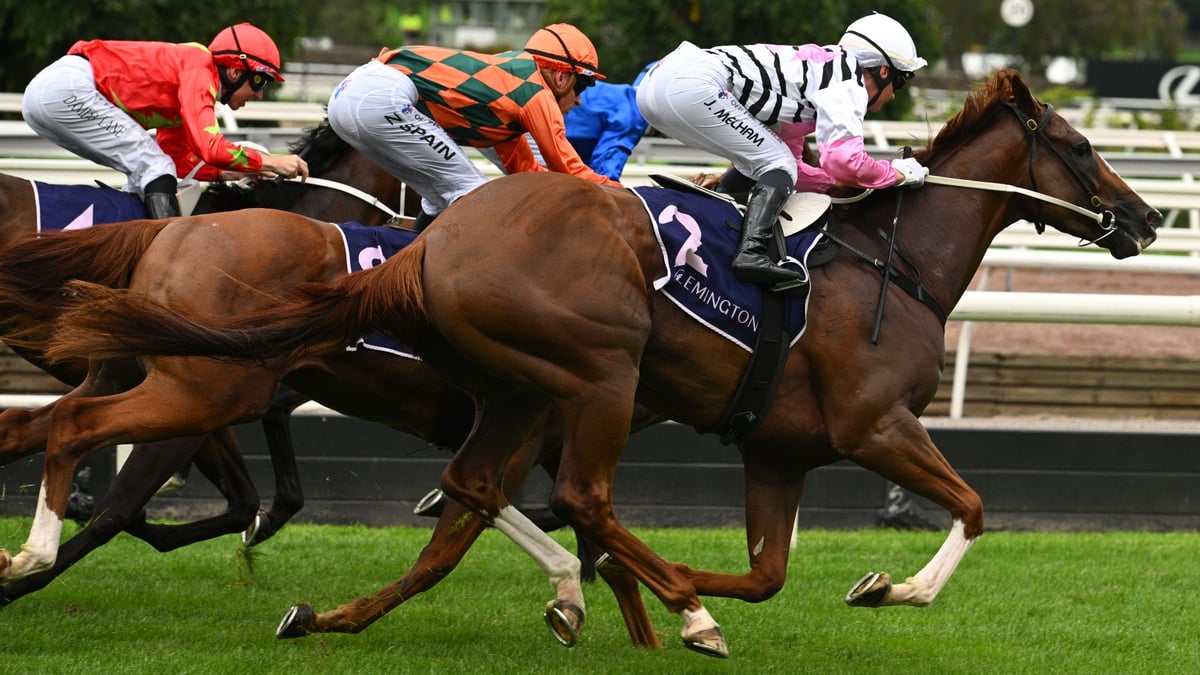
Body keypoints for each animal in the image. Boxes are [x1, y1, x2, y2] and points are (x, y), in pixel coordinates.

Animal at [20, 70, 1162, 657]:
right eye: (1078, 146)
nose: (1147, 218)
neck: (895, 272)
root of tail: (432, 249)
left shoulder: (778, 450)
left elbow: (765, 571)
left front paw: (640, 597)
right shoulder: (873, 425)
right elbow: (971, 506)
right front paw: (890, 587)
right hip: (580, 376)